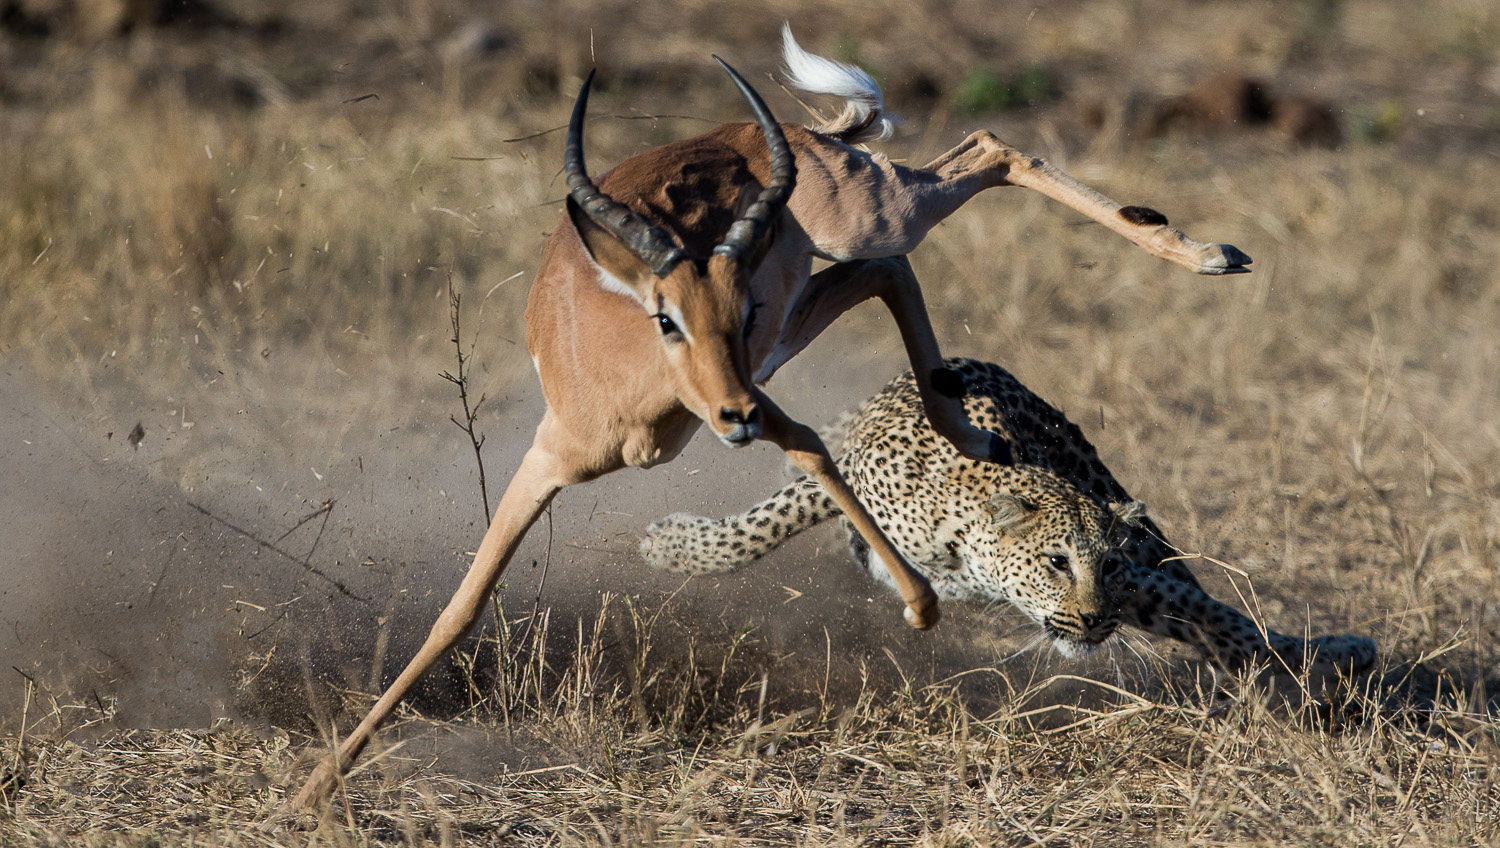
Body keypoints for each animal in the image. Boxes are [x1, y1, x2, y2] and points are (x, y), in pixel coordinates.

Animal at [639, 355, 1374, 681]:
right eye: (1056, 562)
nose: (1093, 620)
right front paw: (673, 548)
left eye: (1106, 565)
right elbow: (762, 527)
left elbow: (1222, 615)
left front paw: (1319, 656)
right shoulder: (848, 472)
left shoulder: (1137, 581)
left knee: (1193, 593)